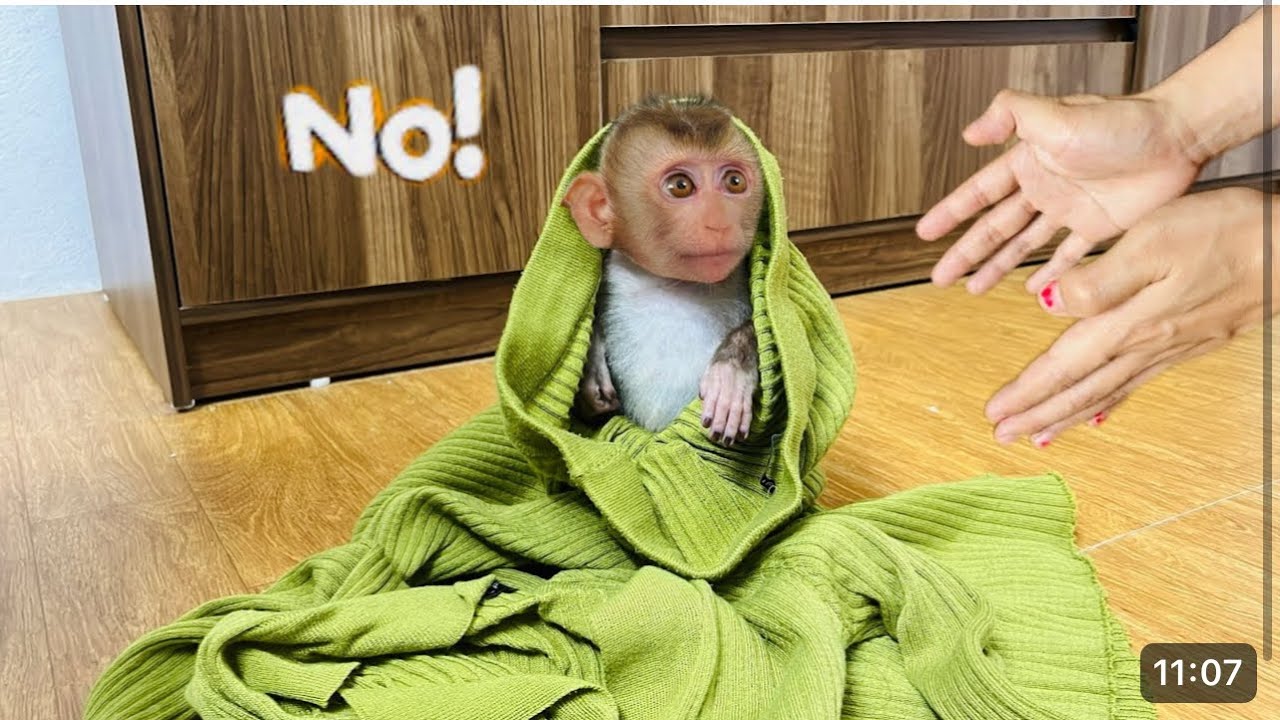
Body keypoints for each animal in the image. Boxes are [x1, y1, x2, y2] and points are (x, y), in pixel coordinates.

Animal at [562, 95, 764, 446]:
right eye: (681, 186)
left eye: (734, 182)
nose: (720, 222)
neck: (676, 285)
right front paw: (590, 366)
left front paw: (731, 376)